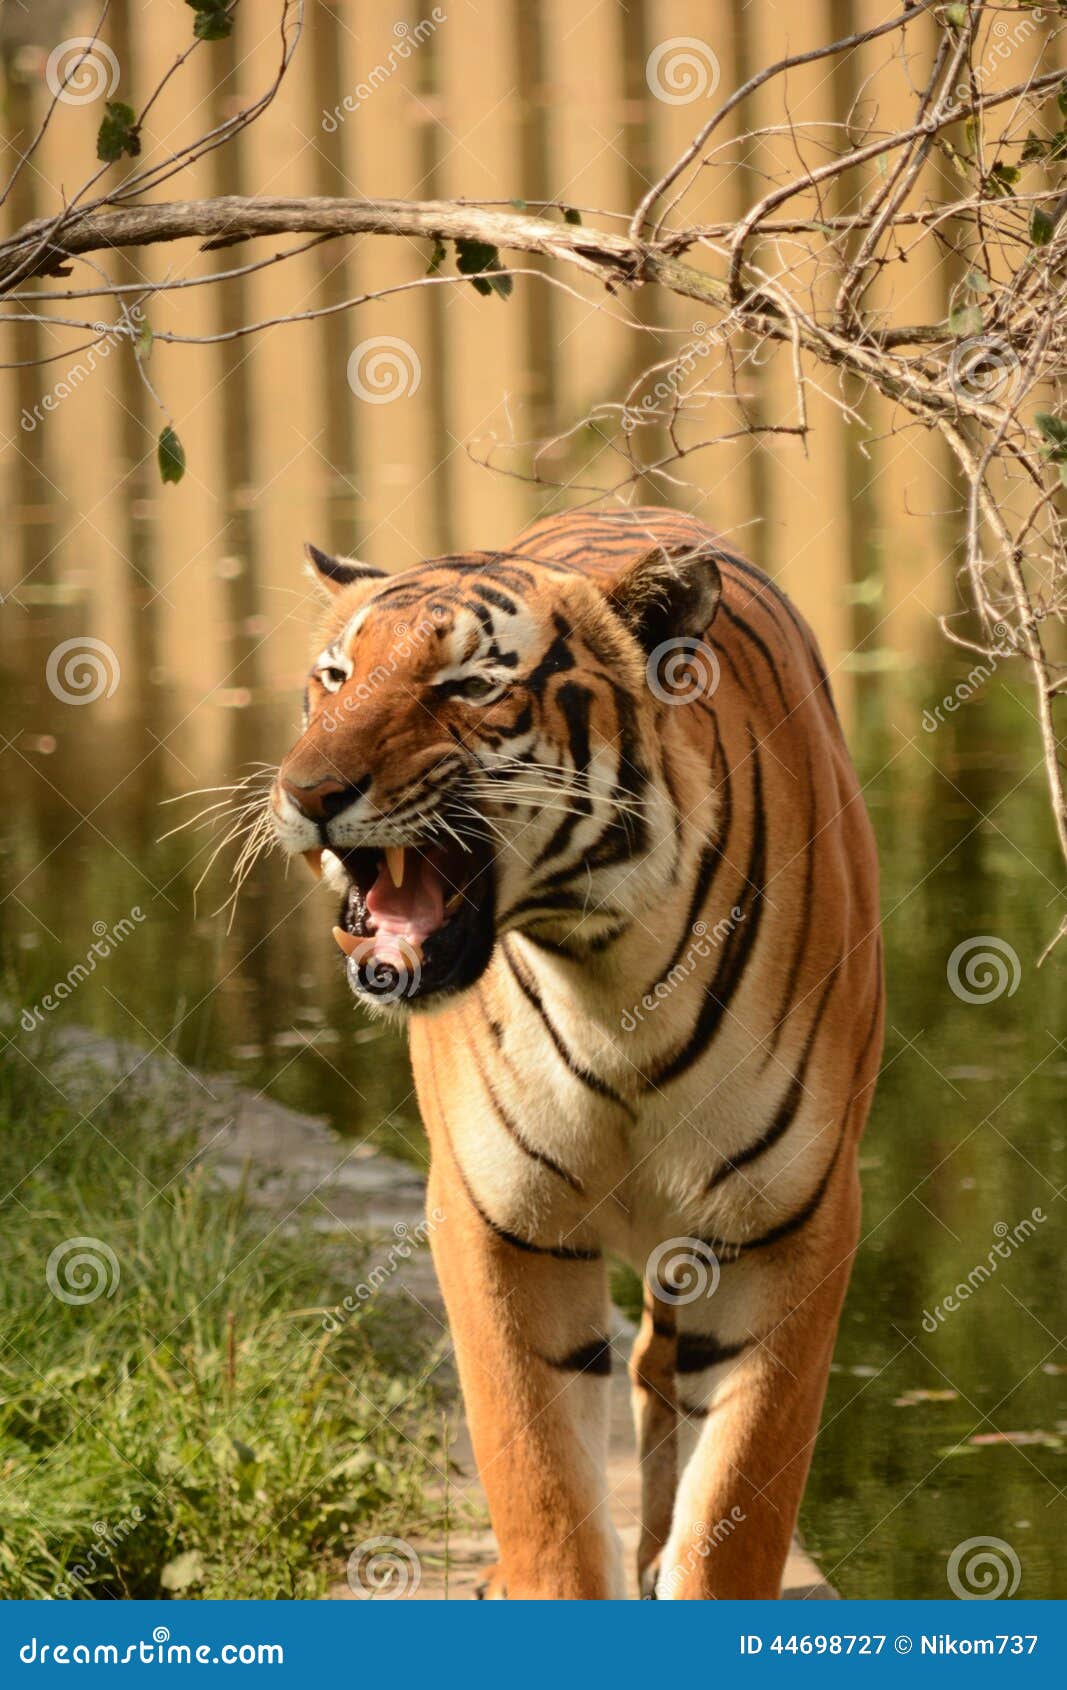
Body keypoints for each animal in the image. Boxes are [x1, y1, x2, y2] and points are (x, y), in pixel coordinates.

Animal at [269, 506, 883, 1600]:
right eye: (334, 676)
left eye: (468, 686)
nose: (306, 791)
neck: (604, 972)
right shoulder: (498, 1216)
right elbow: (540, 1486)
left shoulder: (788, 1222)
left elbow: (739, 1497)